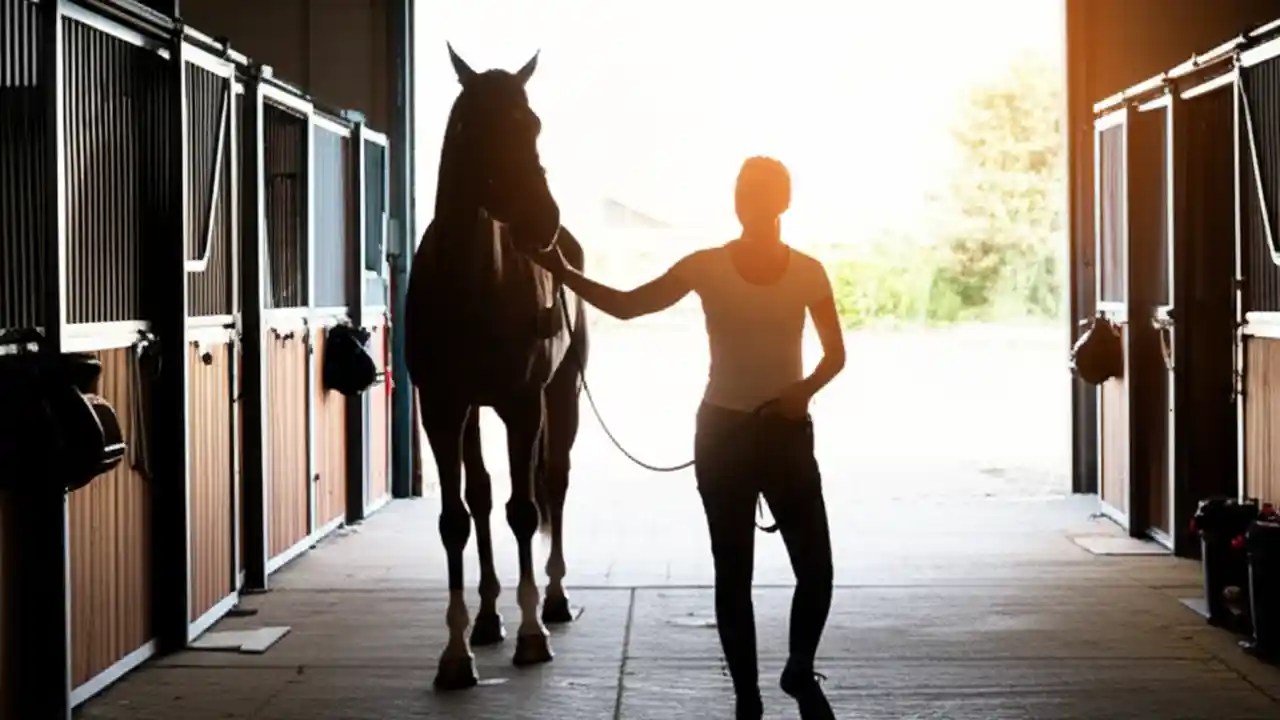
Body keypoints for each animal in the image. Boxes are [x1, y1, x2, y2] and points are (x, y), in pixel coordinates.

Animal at [404, 44, 588, 691]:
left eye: (532, 125)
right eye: (476, 129)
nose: (542, 222)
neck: (472, 284)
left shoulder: (522, 401)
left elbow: (525, 510)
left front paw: (532, 635)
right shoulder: (442, 407)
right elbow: (456, 519)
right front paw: (456, 653)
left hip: (562, 395)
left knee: (553, 482)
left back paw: (555, 600)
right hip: (474, 413)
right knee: (481, 497)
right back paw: (486, 619)